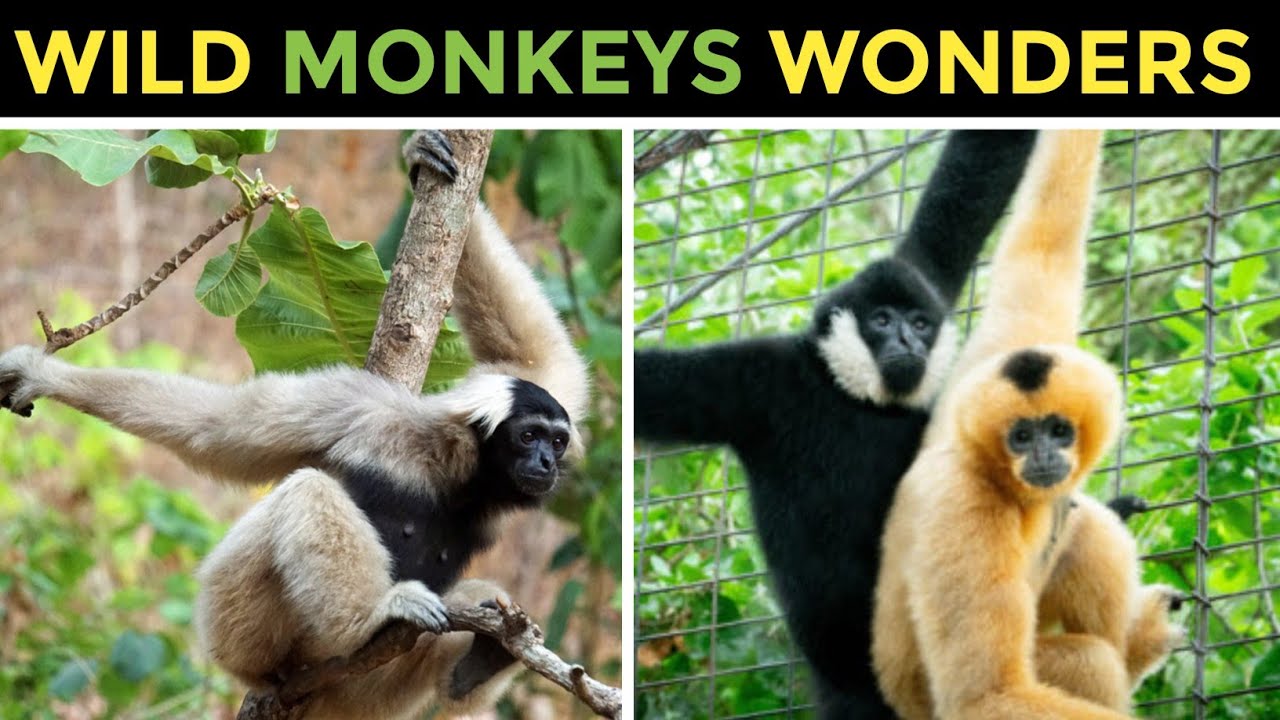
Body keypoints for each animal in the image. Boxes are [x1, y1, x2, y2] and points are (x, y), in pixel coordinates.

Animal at [0, 130, 592, 719]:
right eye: (529, 436)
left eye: (558, 441)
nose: (546, 462)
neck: (457, 473)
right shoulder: (365, 409)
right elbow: (221, 430)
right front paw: (44, 375)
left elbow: (541, 354)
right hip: (240, 630)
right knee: (307, 489)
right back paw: (373, 619)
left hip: (363, 693)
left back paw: (478, 664)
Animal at [635, 130, 1039, 718]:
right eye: (882, 321)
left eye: (920, 323)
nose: (908, 341)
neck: (860, 399)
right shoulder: (756, 383)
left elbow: (969, 188)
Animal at [871, 130, 1184, 720]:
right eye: (1020, 436)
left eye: (1059, 430)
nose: (1042, 454)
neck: (993, 471)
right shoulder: (960, 508)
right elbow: (987, 694)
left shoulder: (1004, 349)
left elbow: (1044, 239)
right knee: (1089, 660)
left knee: (1085, 524)